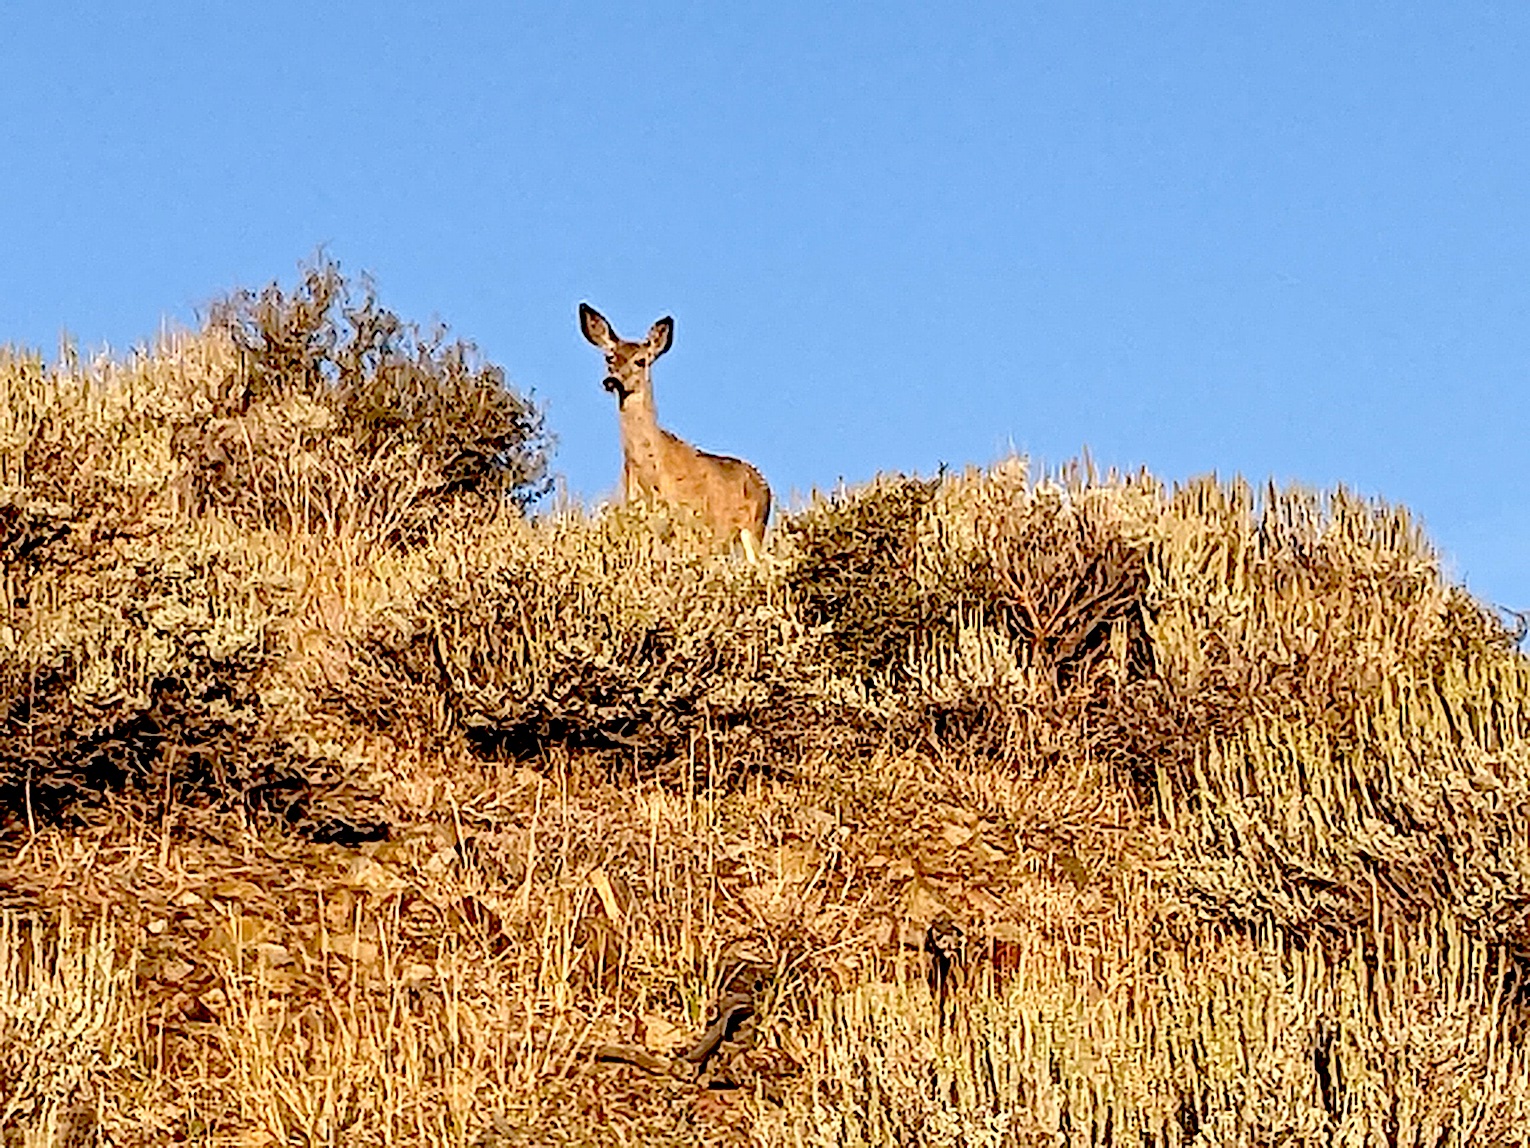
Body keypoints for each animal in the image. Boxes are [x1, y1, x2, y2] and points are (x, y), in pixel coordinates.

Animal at [579, 303, 771, 560]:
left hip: (754, 528)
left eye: (641, 361)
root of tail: (766, 485)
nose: (612, 381)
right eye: (609, 357)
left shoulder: (690, 521)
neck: (650, 474)